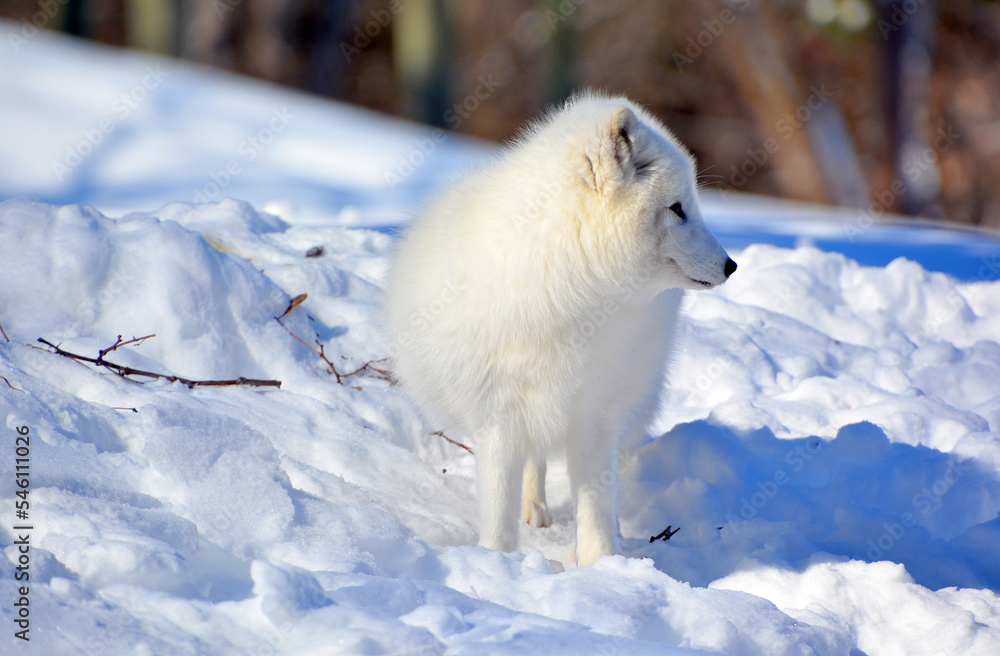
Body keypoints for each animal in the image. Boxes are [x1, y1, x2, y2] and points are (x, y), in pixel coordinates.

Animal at [383, 92, 735, 566]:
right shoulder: (498, 417)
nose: (731, 266)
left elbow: (596, 504)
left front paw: (601, 563)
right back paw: (532, 511)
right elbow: (499, 507)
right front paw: (496, 559)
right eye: (678, 209)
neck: (571, 289)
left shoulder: (596, 415)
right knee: (533, 462)